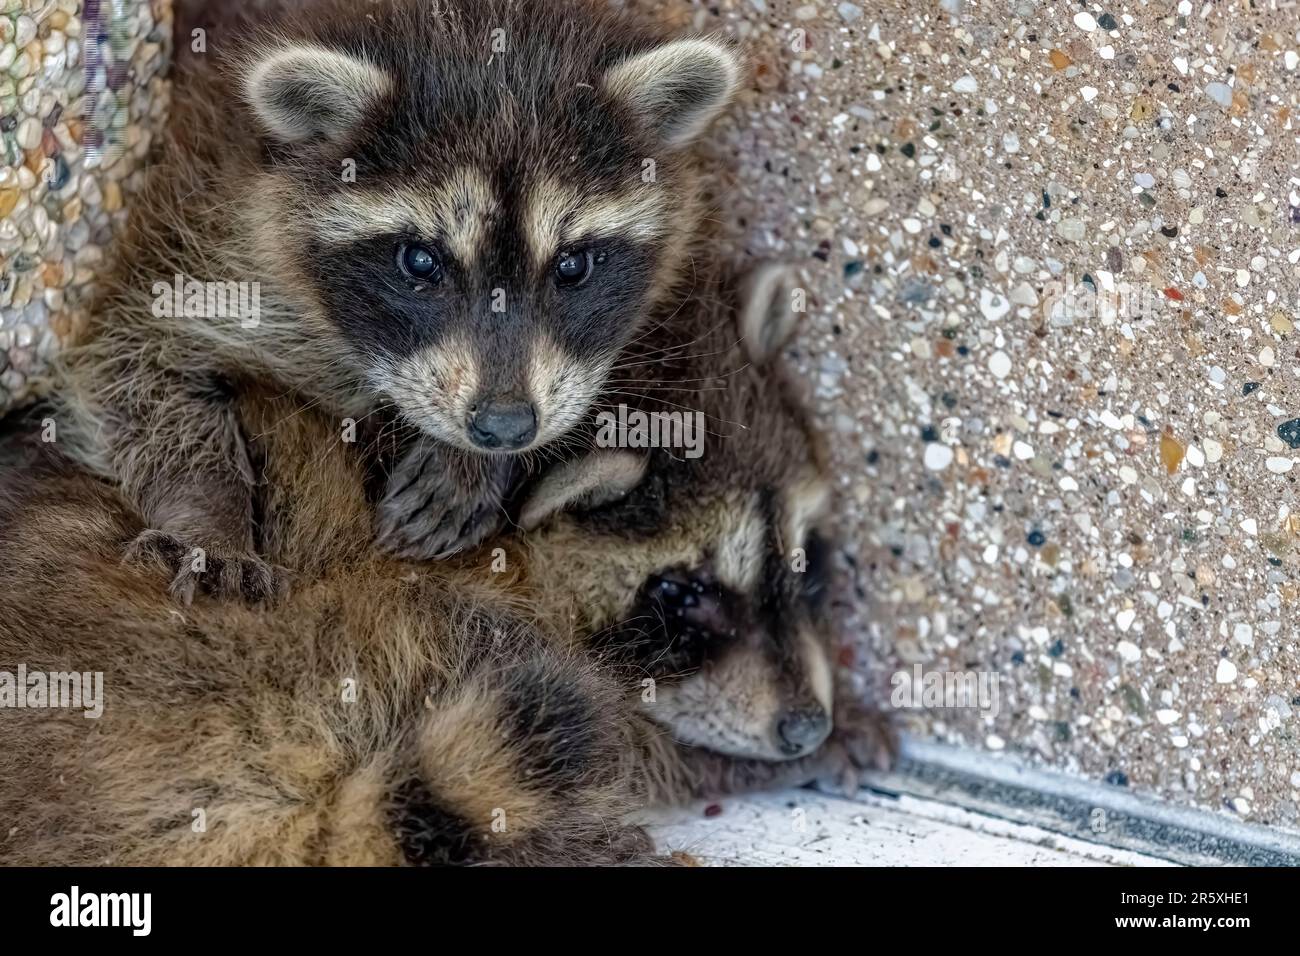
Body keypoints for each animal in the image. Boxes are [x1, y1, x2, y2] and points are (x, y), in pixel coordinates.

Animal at [51, 0, 743, 602]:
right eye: (420, 262)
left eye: (572, 265)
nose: (503, 427)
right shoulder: (206, 225)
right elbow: (138, 361)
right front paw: (207, 517)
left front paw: (468, 466)